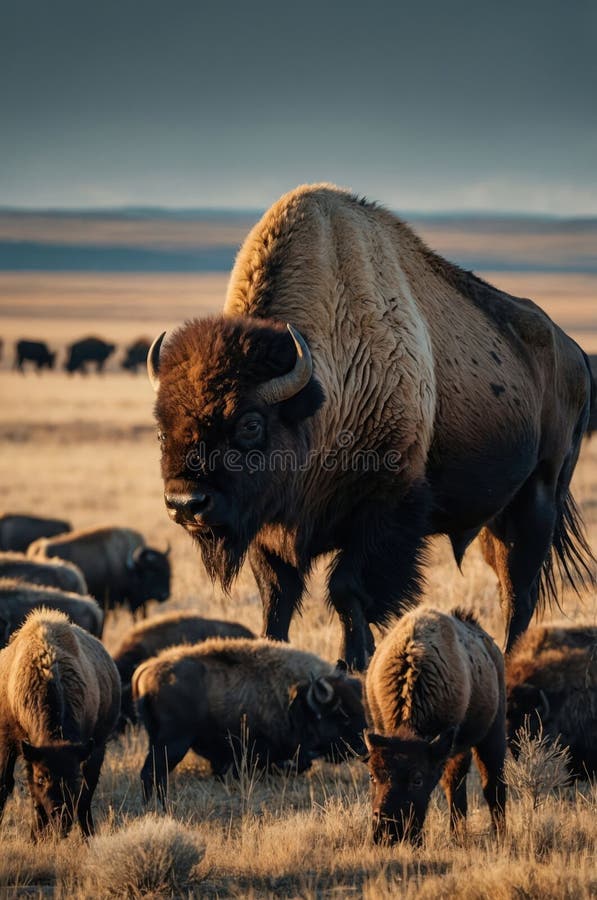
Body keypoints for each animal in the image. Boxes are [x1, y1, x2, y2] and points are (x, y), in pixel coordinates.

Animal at [0, 609, 120, 838]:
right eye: (41, 779)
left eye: (74, 778)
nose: (60, 816)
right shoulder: (14, 746)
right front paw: (36, 838)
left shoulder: (92, 749)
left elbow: (85, 794)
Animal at [133, 637, 366, 804]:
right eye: (341, 715)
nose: (363, 749)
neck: (296, 699)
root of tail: (145, 671)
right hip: (173, 743)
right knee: (153, 773)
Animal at [146, 184, 595, 671]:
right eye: (161, 429)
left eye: (249, 423)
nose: (186, 503)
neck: (318, 392)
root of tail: (573, 352)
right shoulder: (272, 528)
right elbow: (278, 598)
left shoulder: (384, 507)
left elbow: (348, 591)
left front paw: (355, 660)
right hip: (496, 517)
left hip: (539, 497)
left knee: (519, 594)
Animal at [364, 607, 506, 844]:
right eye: (372, 776)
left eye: (417, 780)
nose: (386, 830)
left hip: (492, 733)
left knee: (492, 784)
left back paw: (498, 833)